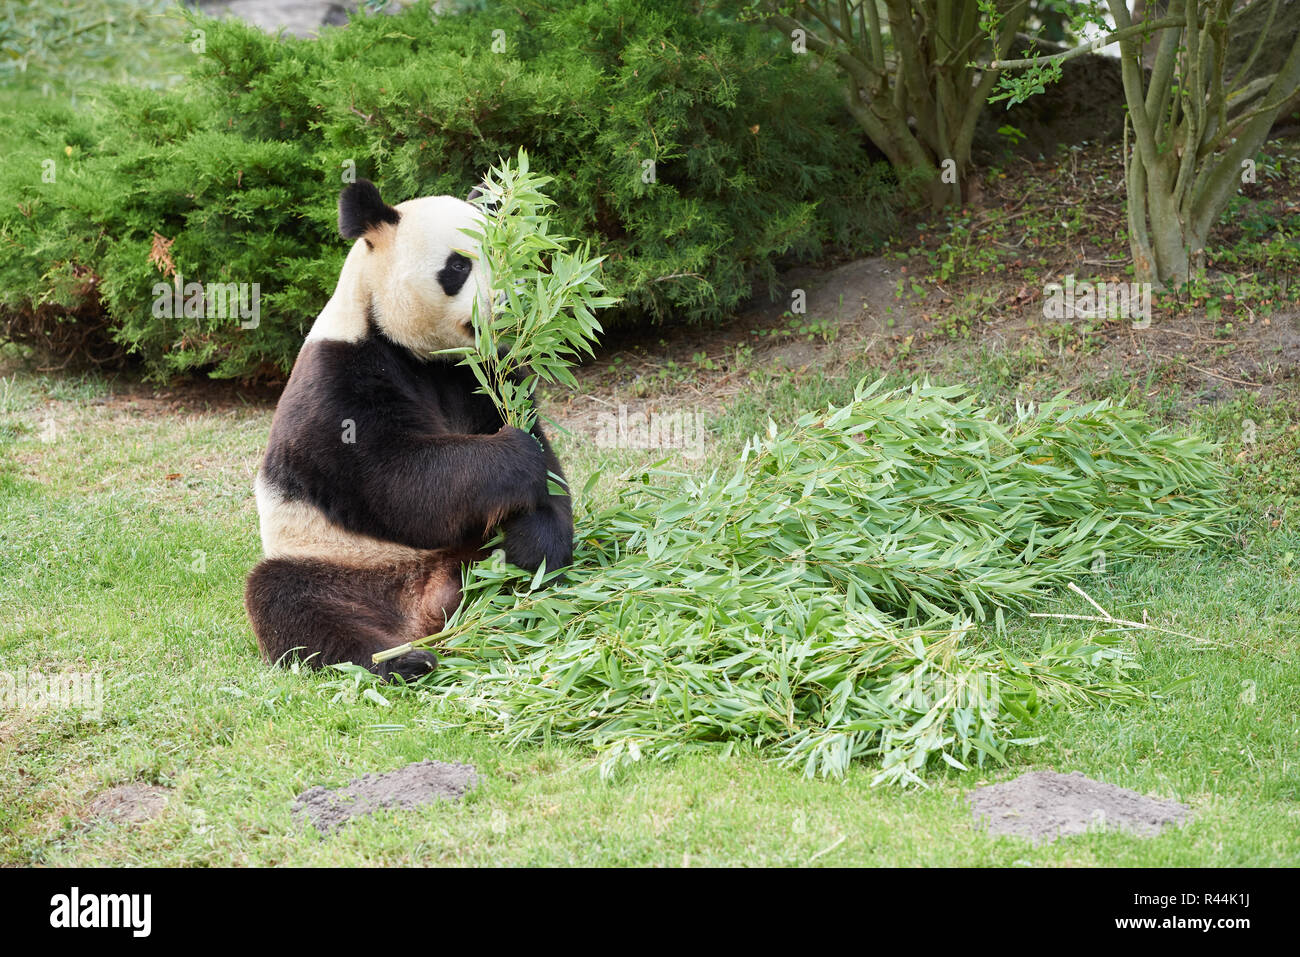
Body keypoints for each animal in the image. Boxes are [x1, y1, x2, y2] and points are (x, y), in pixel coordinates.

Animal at [244, 178, 573, 681]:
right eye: (457, 266)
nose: (507, 307)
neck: (421, 353)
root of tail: (422, 611)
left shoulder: (484, 376)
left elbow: (543, 465)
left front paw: (537, 545)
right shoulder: (340, 372)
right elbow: (394, 478)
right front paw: (516, 455)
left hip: (466, 554)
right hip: (333, 561)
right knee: (292, 601)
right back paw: (400, 661)